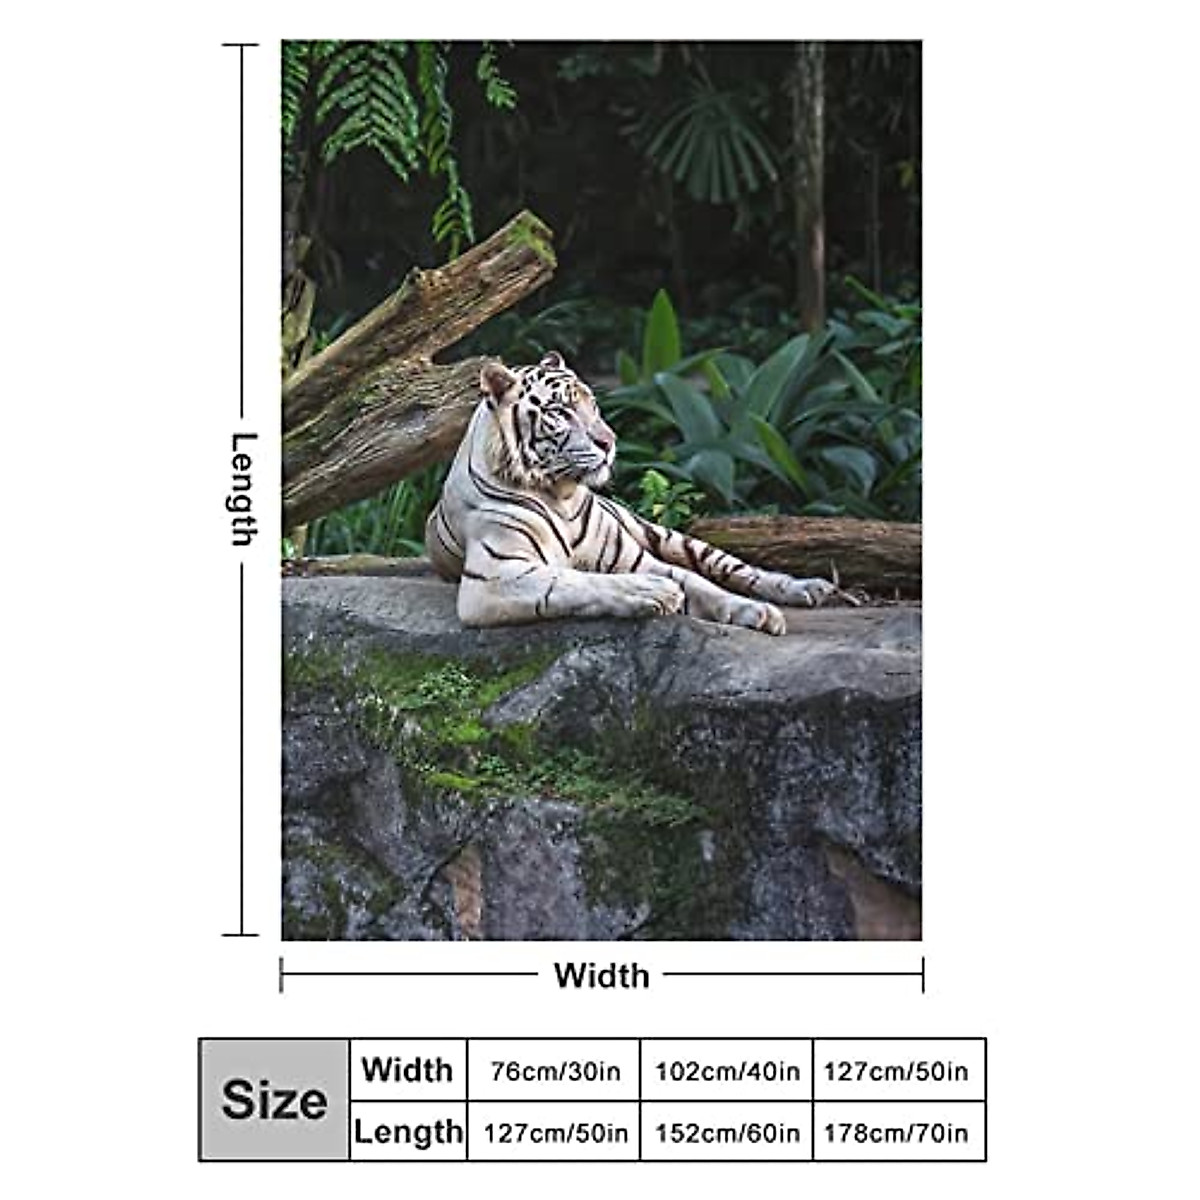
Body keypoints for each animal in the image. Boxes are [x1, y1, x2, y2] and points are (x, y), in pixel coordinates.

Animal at [425, 352, 838, 635]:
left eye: (593, 404)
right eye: (561, 412)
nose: (609, 442)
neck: (562, 496)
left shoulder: (635, 557)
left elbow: (700, 583)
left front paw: (757, 611)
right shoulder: (494, 577)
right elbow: (577, 581)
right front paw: (654, 593)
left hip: (665, 535)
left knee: (733, 568)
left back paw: (807, 587)